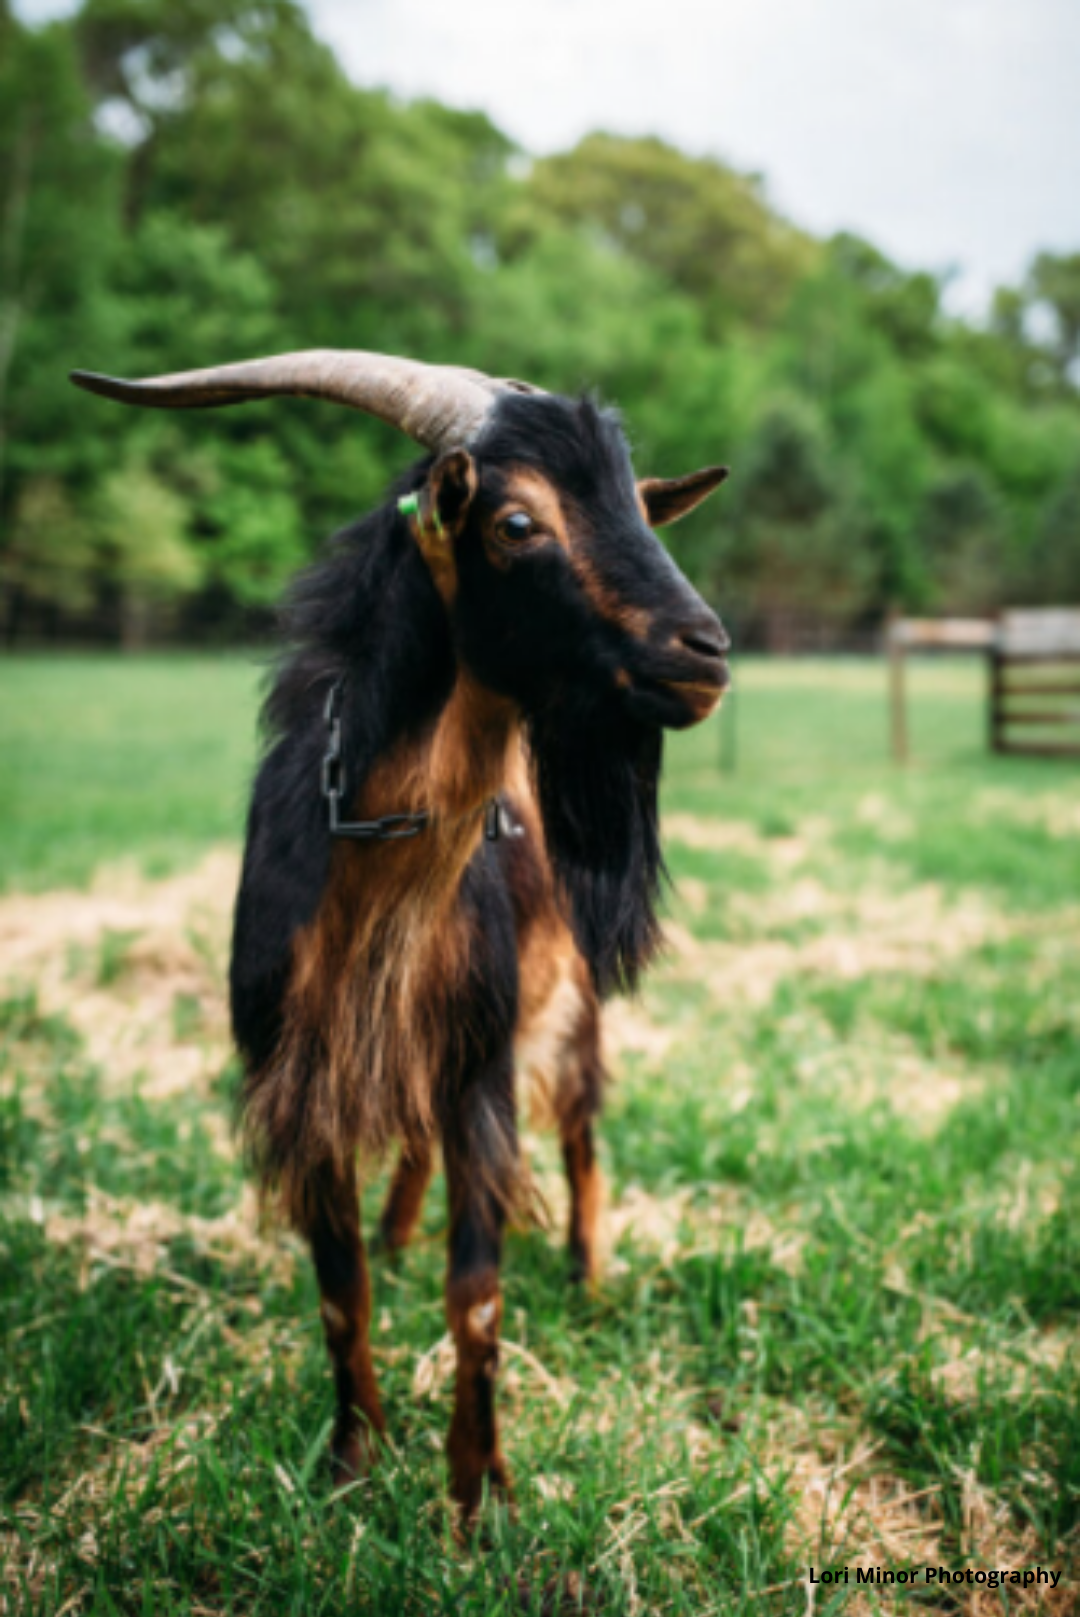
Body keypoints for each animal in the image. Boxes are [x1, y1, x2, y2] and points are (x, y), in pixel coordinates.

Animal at [71, 351, 731, 1516]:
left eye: (636, 508)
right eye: (518, 522)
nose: (706, 653)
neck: (375, 879)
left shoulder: (481, 1069)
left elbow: (478, 1295)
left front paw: (479, 1498)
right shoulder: (305, 1074)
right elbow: (343, 1289)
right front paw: (351, 1462)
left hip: (564, 1006)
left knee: (583, 1131)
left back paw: (588, 1273)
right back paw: (399, 1229)